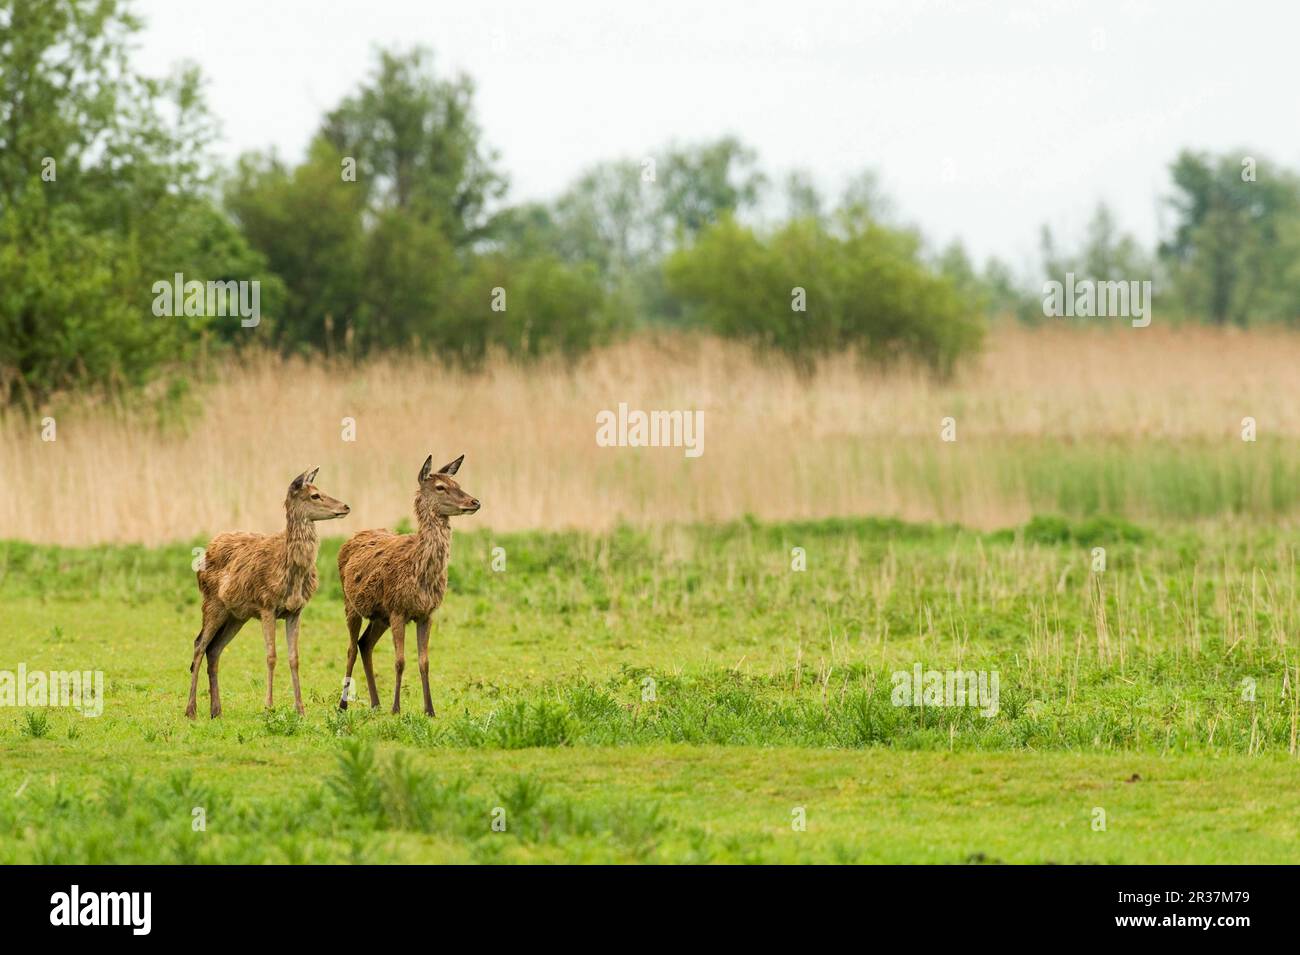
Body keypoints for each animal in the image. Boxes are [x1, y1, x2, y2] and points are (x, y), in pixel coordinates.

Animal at [185, 467, 350, 719]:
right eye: (315, 495)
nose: (345, 506)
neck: (290, 571)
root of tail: (207, 549)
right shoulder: (267, 606)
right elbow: (271, 656)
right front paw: (269, 707)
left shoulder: (295, 611)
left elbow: (294, 658)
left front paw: (300, 709)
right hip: (212, 602)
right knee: (199, 644)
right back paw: (191, 710)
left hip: (237, 615)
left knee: (214, 649)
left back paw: (217, 711)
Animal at [337, 453, 480, 716]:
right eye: (441, 487)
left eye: (457, 483)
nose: (475, 501)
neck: (419, 570)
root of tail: (352, 537)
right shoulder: (397, 610)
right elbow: (400, 660)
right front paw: (396, 708)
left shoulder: (426, 613)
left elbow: (424, 661)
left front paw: (430, 709)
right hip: (350, 604)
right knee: (351, 647)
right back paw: (343, 705)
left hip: (379, 616)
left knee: (365, 643)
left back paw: (375, 703)